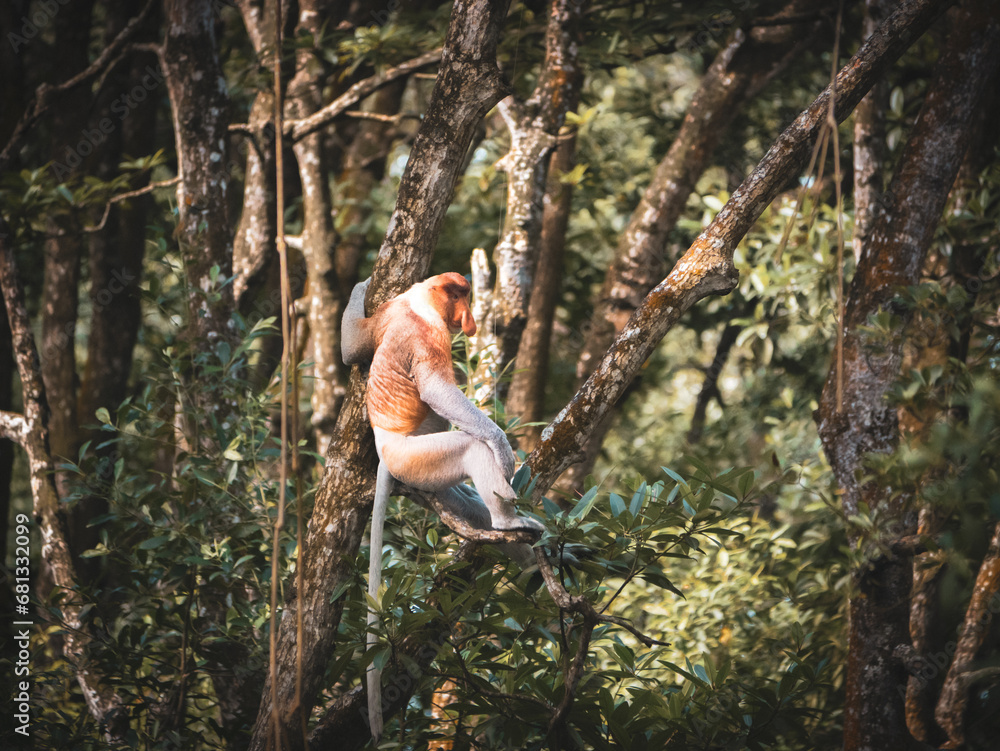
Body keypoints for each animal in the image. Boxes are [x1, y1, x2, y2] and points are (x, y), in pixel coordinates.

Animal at [341, 272, 545, 740]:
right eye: (460, 296)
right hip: (419, 459)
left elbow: (354, 347)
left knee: (467, 504)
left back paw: (523, 551)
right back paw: (506, 522)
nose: (468, 321)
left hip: (426, 471)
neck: (418, 300)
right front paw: (503, 447)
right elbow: (436, 389)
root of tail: (386, 454)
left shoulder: (391, 311)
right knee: (470, 447)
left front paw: (360, 286)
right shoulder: (429, 335)